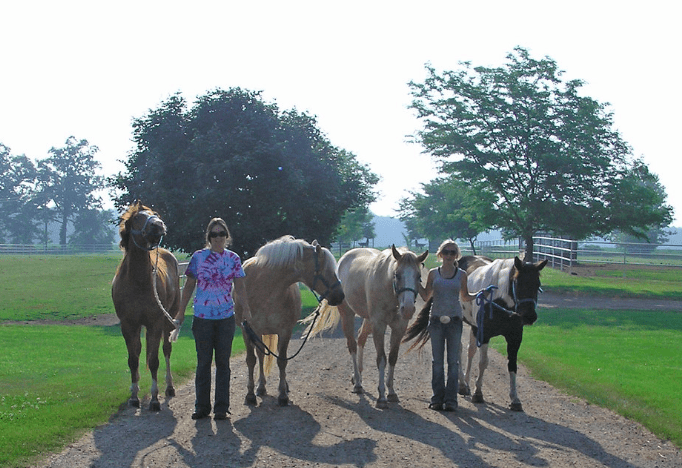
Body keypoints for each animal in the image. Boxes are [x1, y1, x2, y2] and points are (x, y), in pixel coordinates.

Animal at [111, 202, 181, 411]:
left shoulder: (155, 324)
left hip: (168, 320)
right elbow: (133, 360)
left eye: (154, 213)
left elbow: (154, 360)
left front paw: (154, 399)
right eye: (136, 218)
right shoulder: (128, 325)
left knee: (165, 350)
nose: (158, 225)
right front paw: (134, 396)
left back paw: (169, 387)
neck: (138, 281)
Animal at [234, 235, 345, 407]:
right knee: (260, 356)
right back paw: (261, 387)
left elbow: (282, 361)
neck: (264, 288)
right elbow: (251, 360)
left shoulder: (285, 331)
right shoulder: (247, 330)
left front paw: (282, 395)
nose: (340, 295)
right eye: (326, 270)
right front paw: (250, 395)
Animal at [305, 245, 428, 408]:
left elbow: (392, 358)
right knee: (352, 345)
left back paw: (358, 375)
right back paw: (357, 383)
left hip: (368, 320)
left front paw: (391, 392)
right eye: (397, 274)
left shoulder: (399, 327)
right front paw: (381, 397)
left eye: (418, 276)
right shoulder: (379, 326)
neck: (388, 288)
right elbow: (381, 359)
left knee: (361, 338)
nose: (408, 309)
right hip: (348, 315)